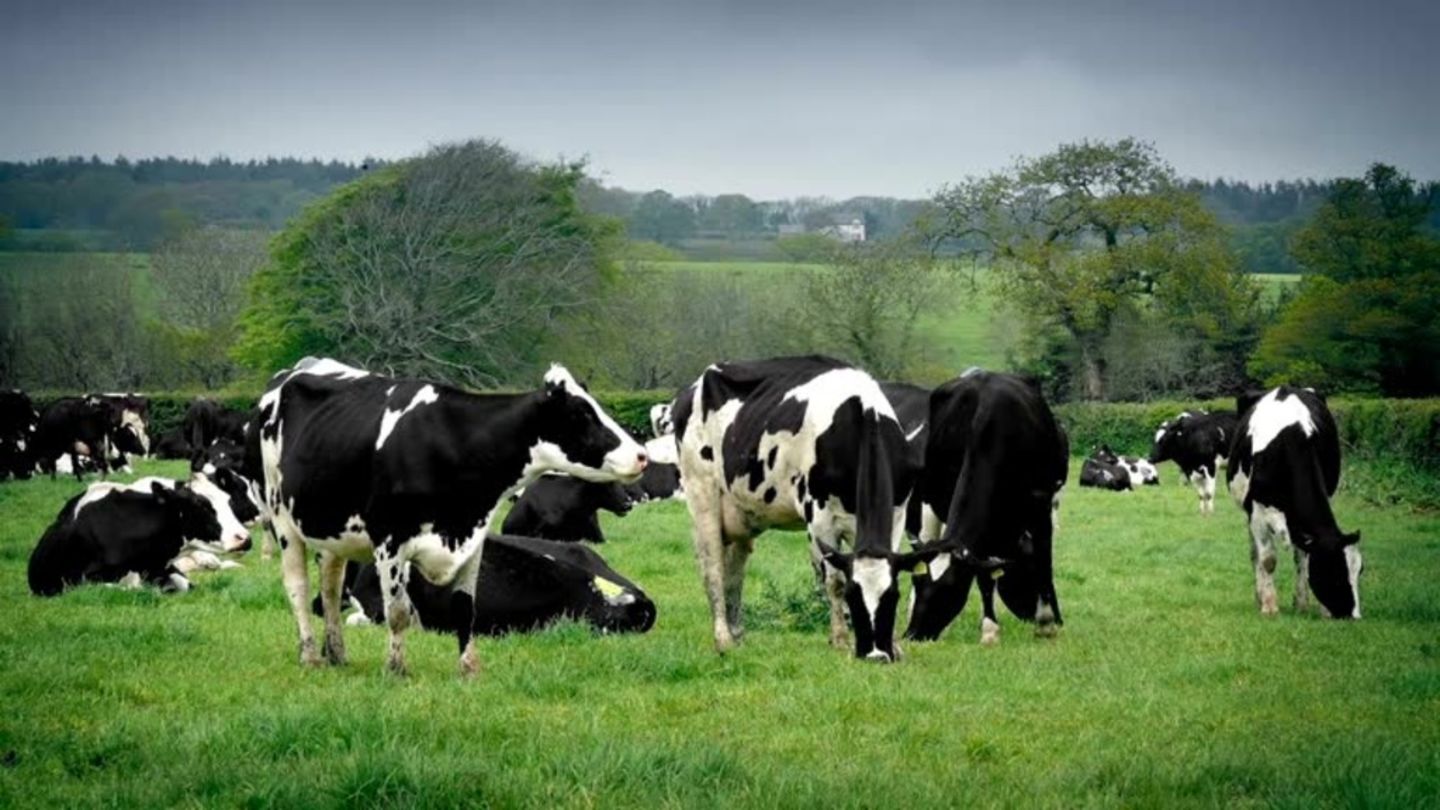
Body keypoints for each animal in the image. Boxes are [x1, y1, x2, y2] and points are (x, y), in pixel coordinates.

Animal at [27, 475, 250, 596]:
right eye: (200, 504)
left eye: (227, 499)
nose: (244, 538)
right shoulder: (83, 581)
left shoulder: (164, 567)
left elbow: (185, 584)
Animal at [674, 356, 933, 663]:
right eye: (854, 598)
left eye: (892, 598)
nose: (876, 656)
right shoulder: (820, 518)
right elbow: (834, 581)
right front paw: (841, 640)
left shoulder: (896, 516)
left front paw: (894, 645)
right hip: (702, 494)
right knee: (713, 570)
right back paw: (723, 640)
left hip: (742, 514)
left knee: (734, 573)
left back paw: (737, 638)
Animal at [905, 370, 1069, 646]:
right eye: (917, 583)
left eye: (949, 588)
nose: (913, 634)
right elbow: (984, 576)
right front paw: (990, 630)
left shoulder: (1042, 504)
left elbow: (1044, 562)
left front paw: (1046, 624)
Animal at [1227, 387, 1362, 619]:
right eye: (1334, 571)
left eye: (1360, 571)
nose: (1353, 616)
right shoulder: (1257, 513)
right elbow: (1267, 560)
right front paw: (1269, 606)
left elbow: (1302, 560)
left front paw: (1302, 604)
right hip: (1248, 512)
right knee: (1255, 553)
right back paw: (1259, 596)